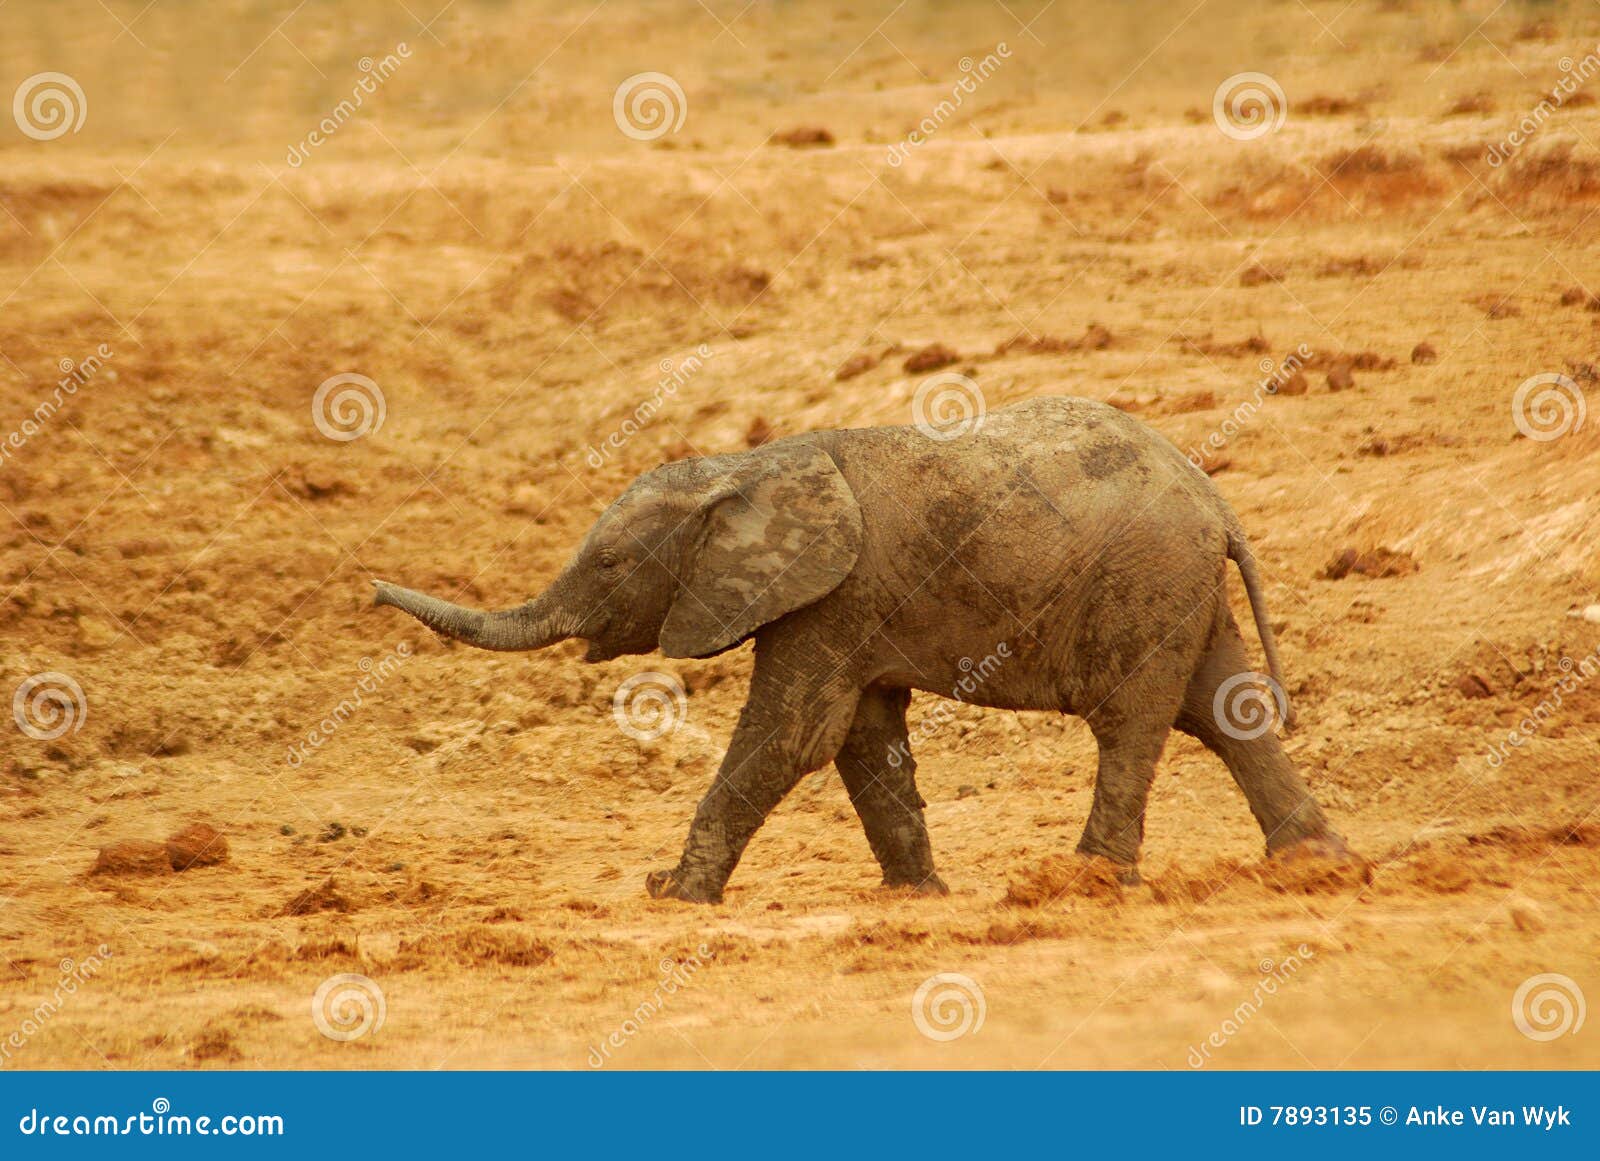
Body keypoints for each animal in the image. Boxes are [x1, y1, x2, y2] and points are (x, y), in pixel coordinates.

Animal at [372, 395, 1346, 903]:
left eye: (609, 562)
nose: (374, 589)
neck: (745, 465)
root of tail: (1216, 502)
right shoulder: (851, 611)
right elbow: (862, 741)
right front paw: (915, 897)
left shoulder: (829, 598)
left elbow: (793, 737)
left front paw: (671, 893)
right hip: (1183, 589)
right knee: (1224, 714)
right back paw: (1316, 863)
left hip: (1145, 580)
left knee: (1135, 725)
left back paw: (1083, 883)